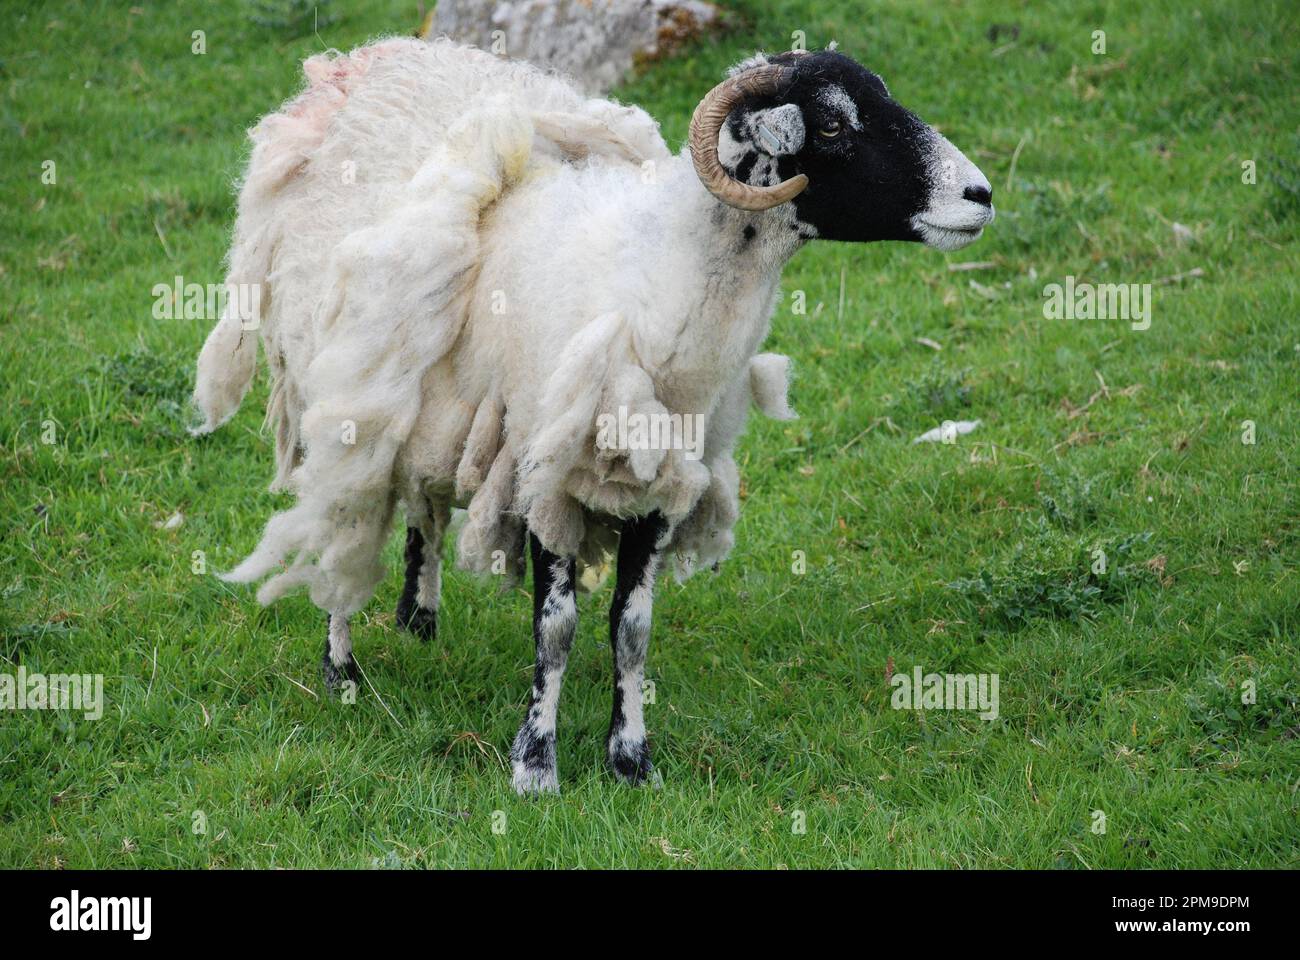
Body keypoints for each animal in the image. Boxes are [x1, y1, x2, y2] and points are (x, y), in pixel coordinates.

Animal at [192, 37, 994, 794]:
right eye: (831, 123)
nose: (981, 194)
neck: (654, 284)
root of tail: (356, 63)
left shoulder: (662, 487)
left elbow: (631, 629)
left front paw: (631, 759)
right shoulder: (546, 475)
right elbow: (556, 629)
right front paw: (535, 763)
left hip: (434, 405)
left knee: (425, 505)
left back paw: (419, 617)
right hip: (347, 385)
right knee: (345, 517)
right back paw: (342, 666)